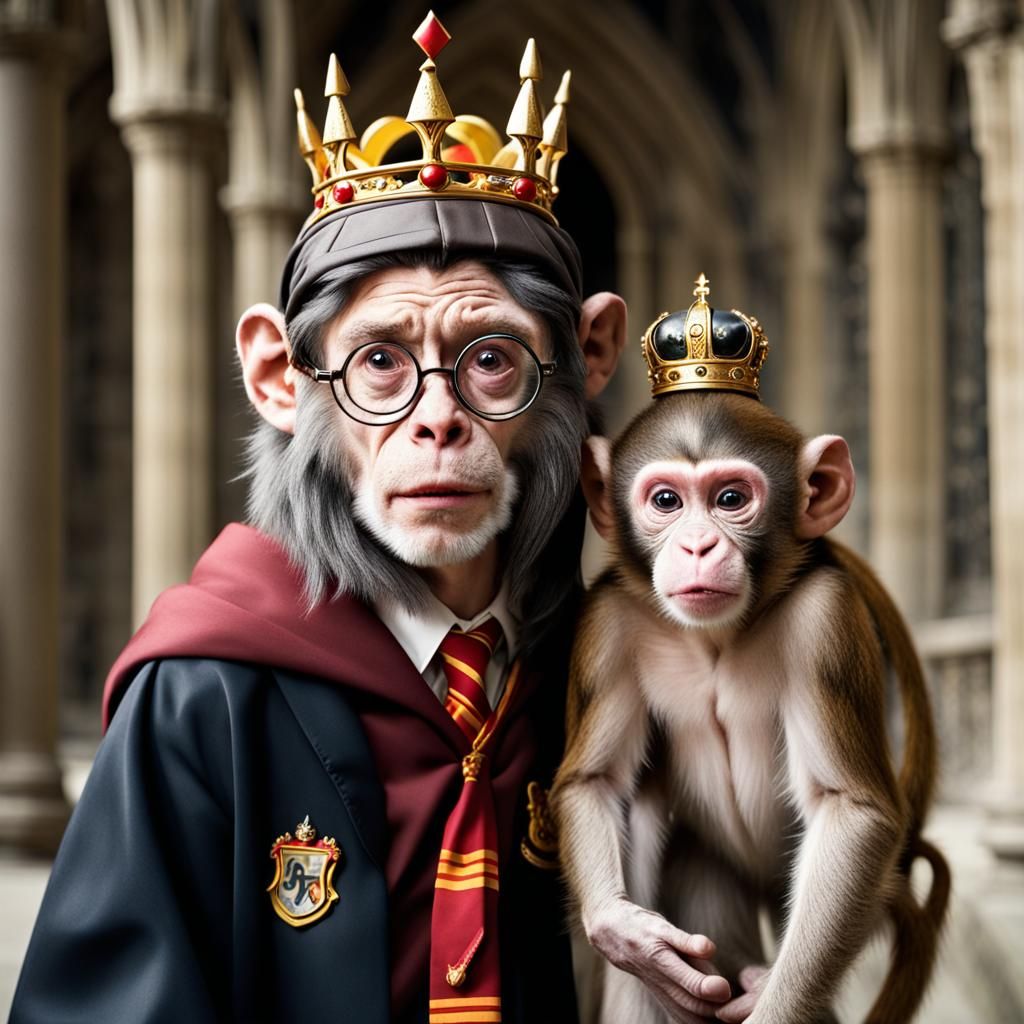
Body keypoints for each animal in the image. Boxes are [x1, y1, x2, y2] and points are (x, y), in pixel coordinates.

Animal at [550, 391, 950, 1024]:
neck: (718, 637)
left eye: (731, 499)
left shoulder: (826, 618)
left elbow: (850, 810)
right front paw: (635, 943)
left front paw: (773, 1007)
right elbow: (595, 781)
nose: (697, 545)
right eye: (666, 501)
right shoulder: (607, 622)